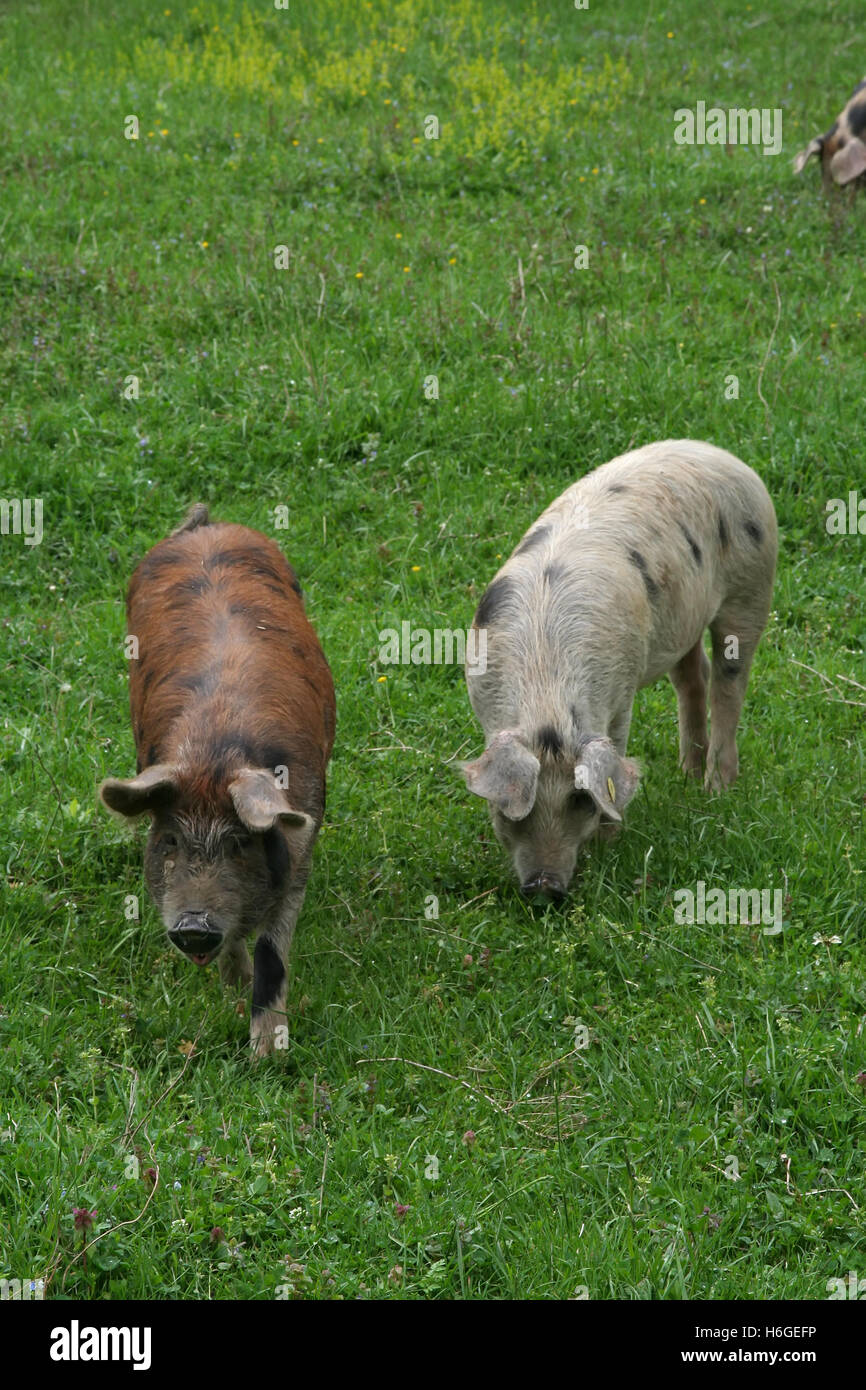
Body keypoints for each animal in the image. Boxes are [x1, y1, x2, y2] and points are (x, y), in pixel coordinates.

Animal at [100, 505, 336, 1057]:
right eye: (168, 840)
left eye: (239, 844)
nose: (193, 926)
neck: (214, 757)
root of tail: (204, 526)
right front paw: (232, 987)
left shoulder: (302, 838)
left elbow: (273, 950)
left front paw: (266, 1057)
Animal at [461, 440, 777, 900]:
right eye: (516, 812)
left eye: (581, 801)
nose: (544, 886)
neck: (546, 687)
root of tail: (716, 451)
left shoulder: (621, 695)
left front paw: (608, 840)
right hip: (681, 619)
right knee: (693, 677)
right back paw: (686, 774)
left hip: (752, 587)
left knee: (730, 681)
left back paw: (715, 790)